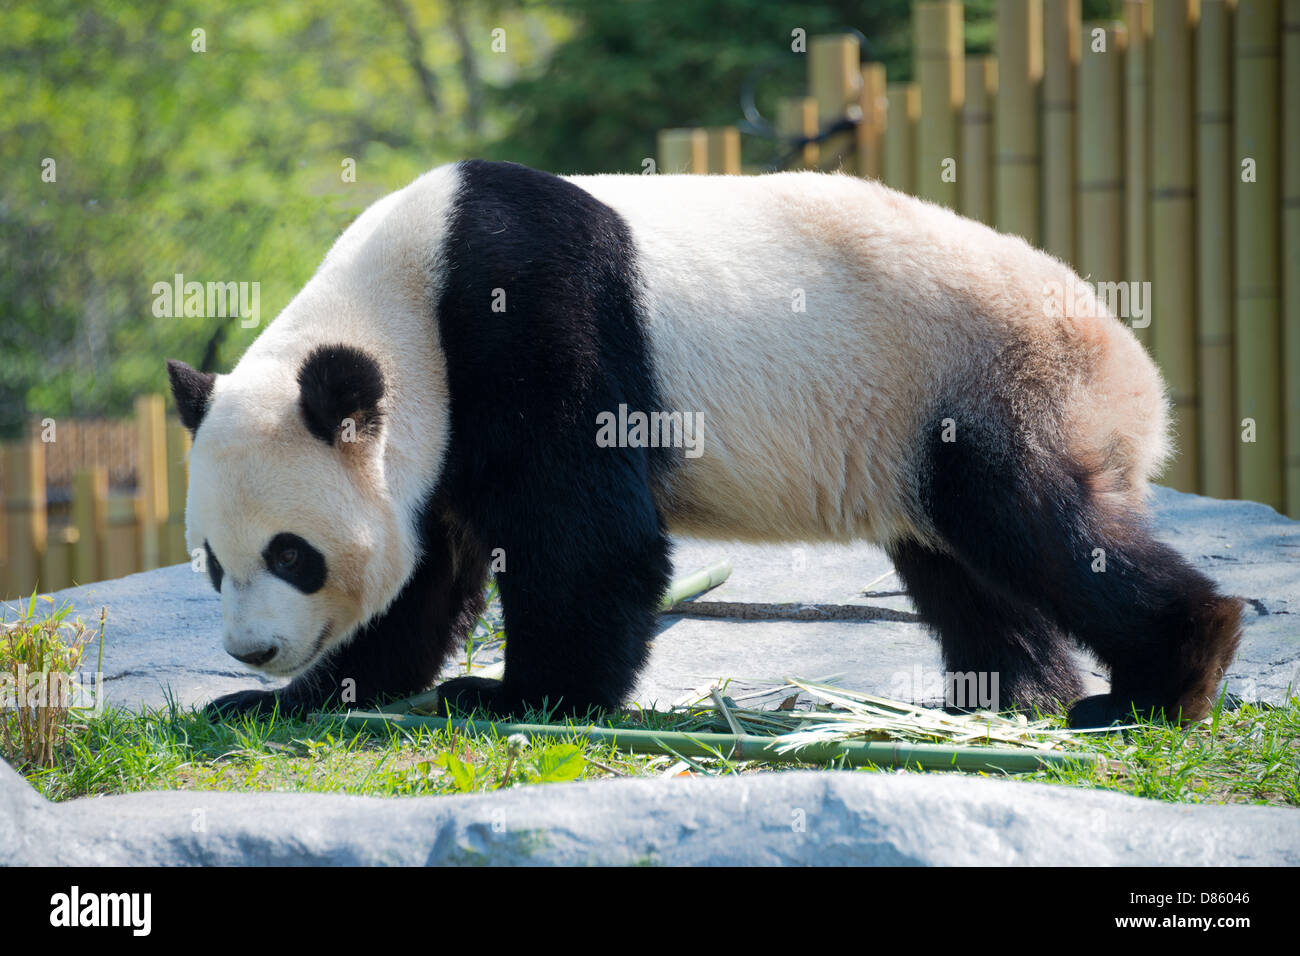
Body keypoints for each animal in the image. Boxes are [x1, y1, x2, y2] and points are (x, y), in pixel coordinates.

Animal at [166, 159, 1243, 728]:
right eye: (214, 561)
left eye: (292, 555)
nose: (252, 649)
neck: (404, 299)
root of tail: (1133, 372)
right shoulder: (440, 424)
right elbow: (426, 576)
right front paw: (283, 699)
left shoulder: (531, 311)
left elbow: (587, 536)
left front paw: (522, 694)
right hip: (918, 418)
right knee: (960, 561)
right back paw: (1008, 695)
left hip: (984, 377)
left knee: (1032, 520)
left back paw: (1164, 674)